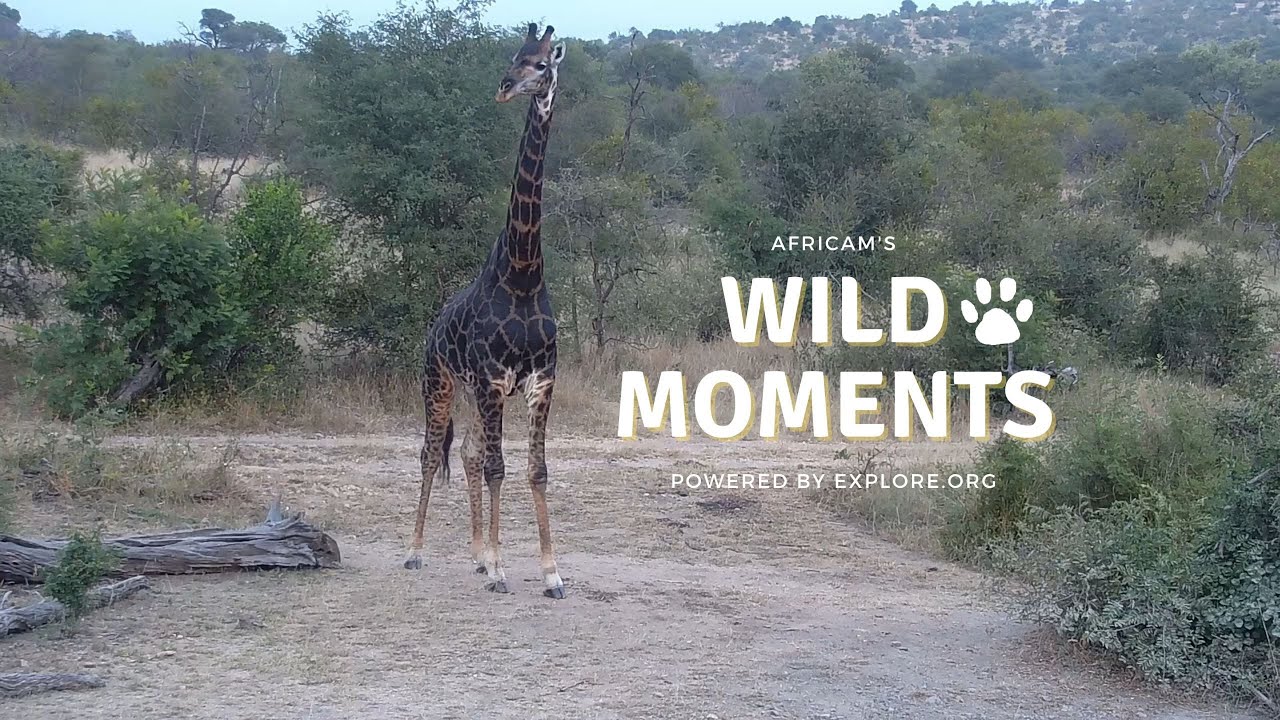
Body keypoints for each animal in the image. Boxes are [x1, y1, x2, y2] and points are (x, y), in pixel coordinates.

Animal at [402, 23, 567, 600]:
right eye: (514, 56)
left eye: (542, 64)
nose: (504, 87)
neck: (523, 274)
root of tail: (431, 327)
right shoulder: (494, 379)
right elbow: (498, 467)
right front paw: (500, 569)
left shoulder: (540, 379)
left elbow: (535, 470)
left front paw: (551, 573)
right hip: (439, 382)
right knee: (433, 455)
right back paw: (416, 552)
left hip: (472, 393)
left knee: (468, 453)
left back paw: (475, 555)